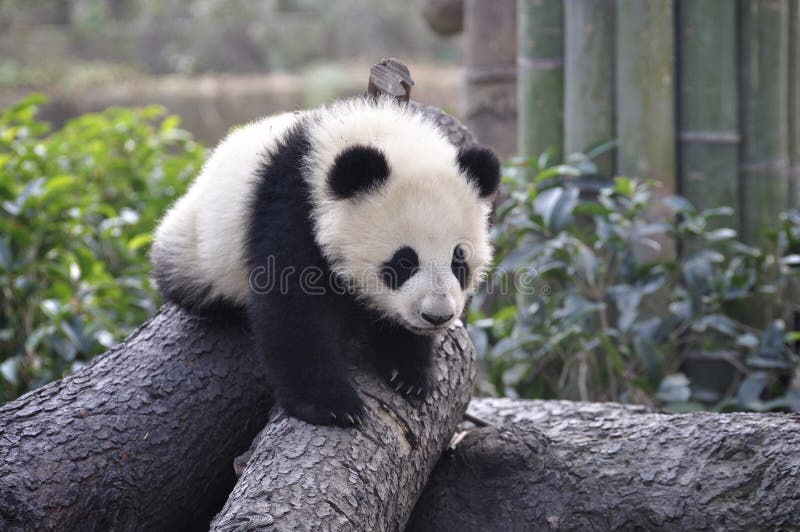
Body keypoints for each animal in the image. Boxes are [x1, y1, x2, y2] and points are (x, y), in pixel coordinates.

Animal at [151, 96, 500, 427]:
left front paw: (408, 372)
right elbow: (293, 308)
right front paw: (330, 406)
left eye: (458, 260)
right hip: (198, 246)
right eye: (404, 262)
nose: (437, 316)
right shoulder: (292, 209)